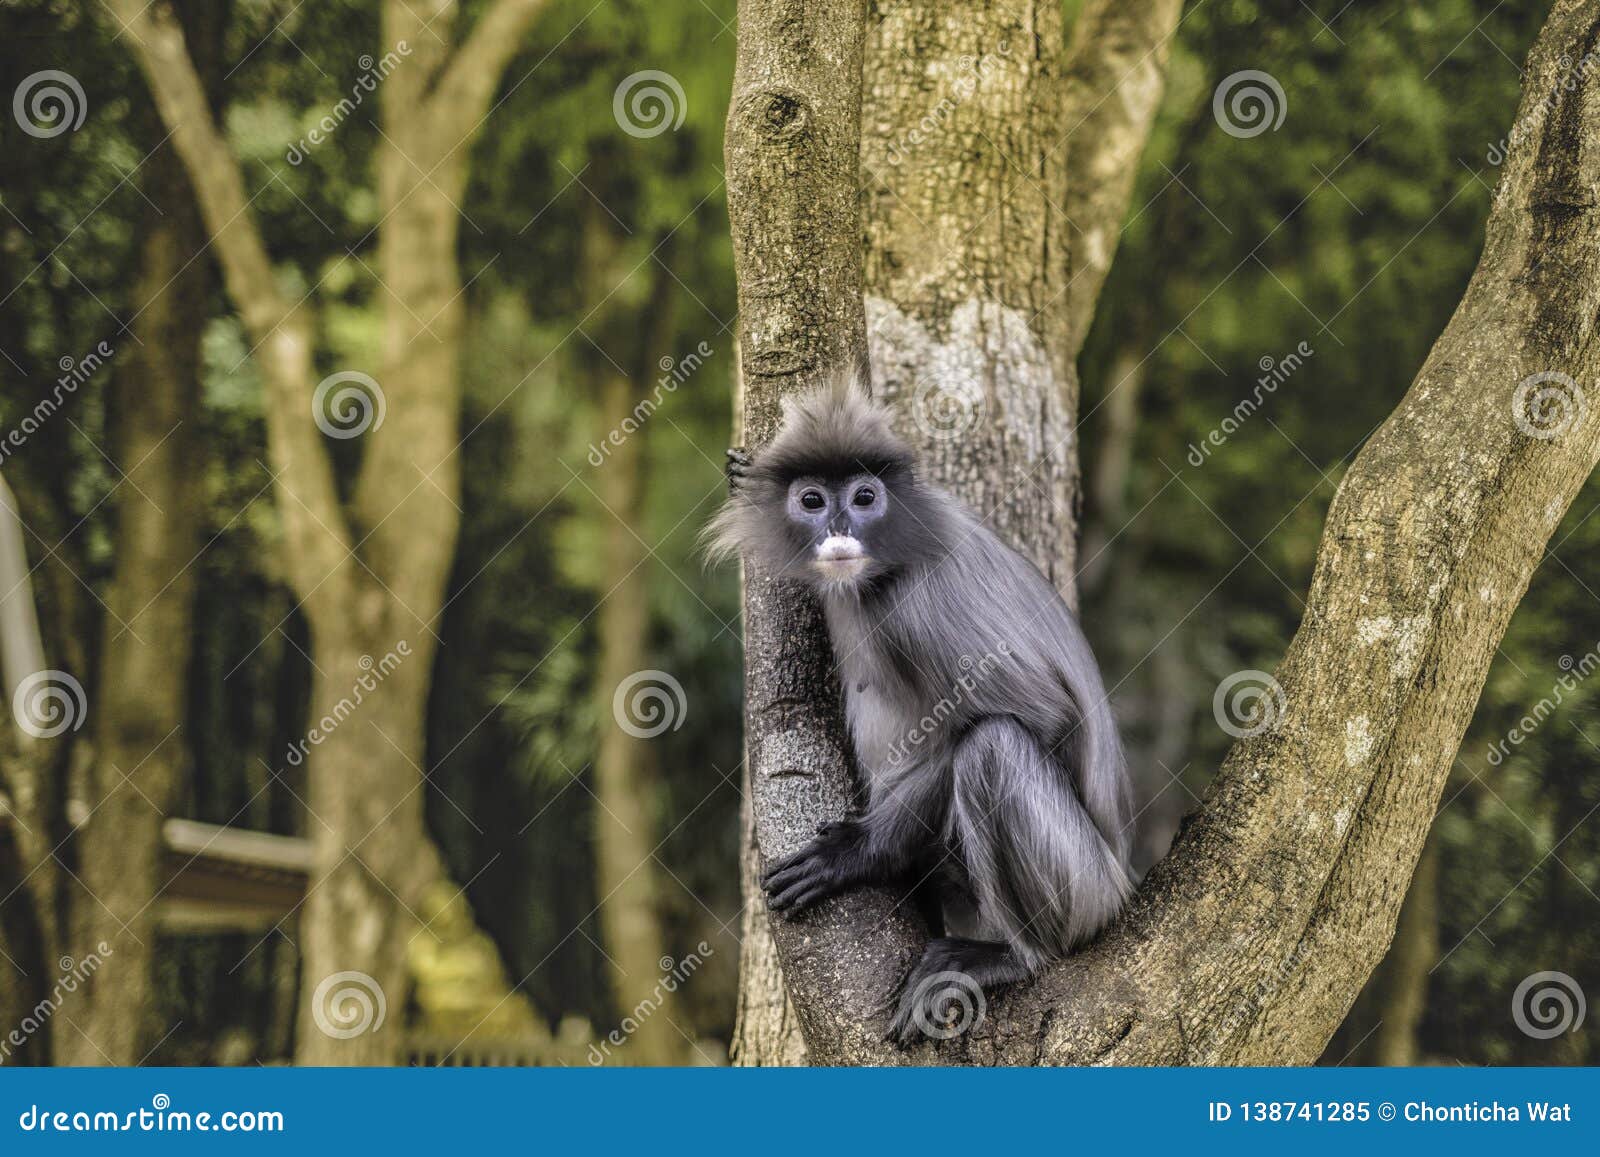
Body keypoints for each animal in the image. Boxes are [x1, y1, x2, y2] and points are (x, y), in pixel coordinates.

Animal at [706, 376, 1135, 1045]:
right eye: (811, 500)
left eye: (863, 498)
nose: (838, 528)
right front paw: (739, 473)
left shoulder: (921, 602)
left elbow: (1046, 715)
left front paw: (859, 852)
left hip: (1088, 889)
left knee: (992, 745)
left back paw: (1013, 956)